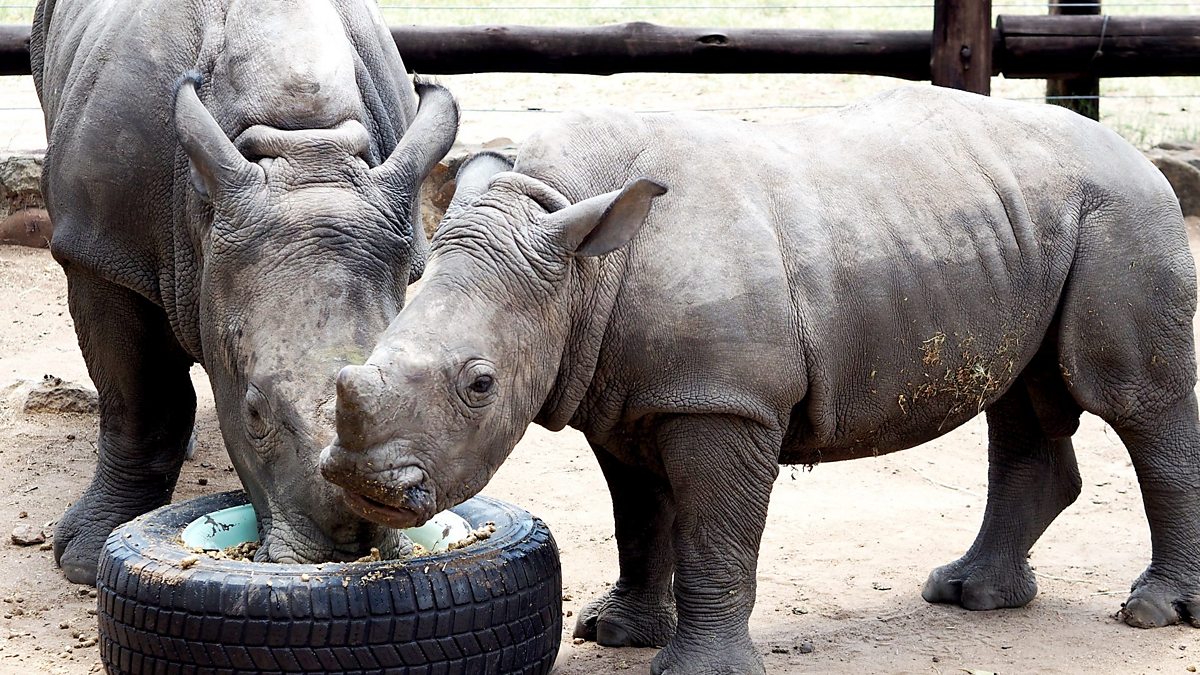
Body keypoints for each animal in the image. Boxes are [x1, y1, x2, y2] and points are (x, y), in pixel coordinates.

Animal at [31, 0, 457, 584]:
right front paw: (86, 558)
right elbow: (141, 401)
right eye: (253, 412)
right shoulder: (100, 254)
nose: (351, 542)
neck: (303, 150)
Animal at [319, 86, 1200, 673]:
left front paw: (694, 670)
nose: (365, 485)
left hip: (1126, 213)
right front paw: (618, 631)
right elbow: (639, 518)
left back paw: (1152, 612)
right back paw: (968, 594)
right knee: (1021, 394)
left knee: (1133, 400)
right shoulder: (628, 396)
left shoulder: (722, 402)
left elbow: (715, 533)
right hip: (1027, 225)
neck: (568, 243)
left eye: (480, 384)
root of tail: (1132, 153)